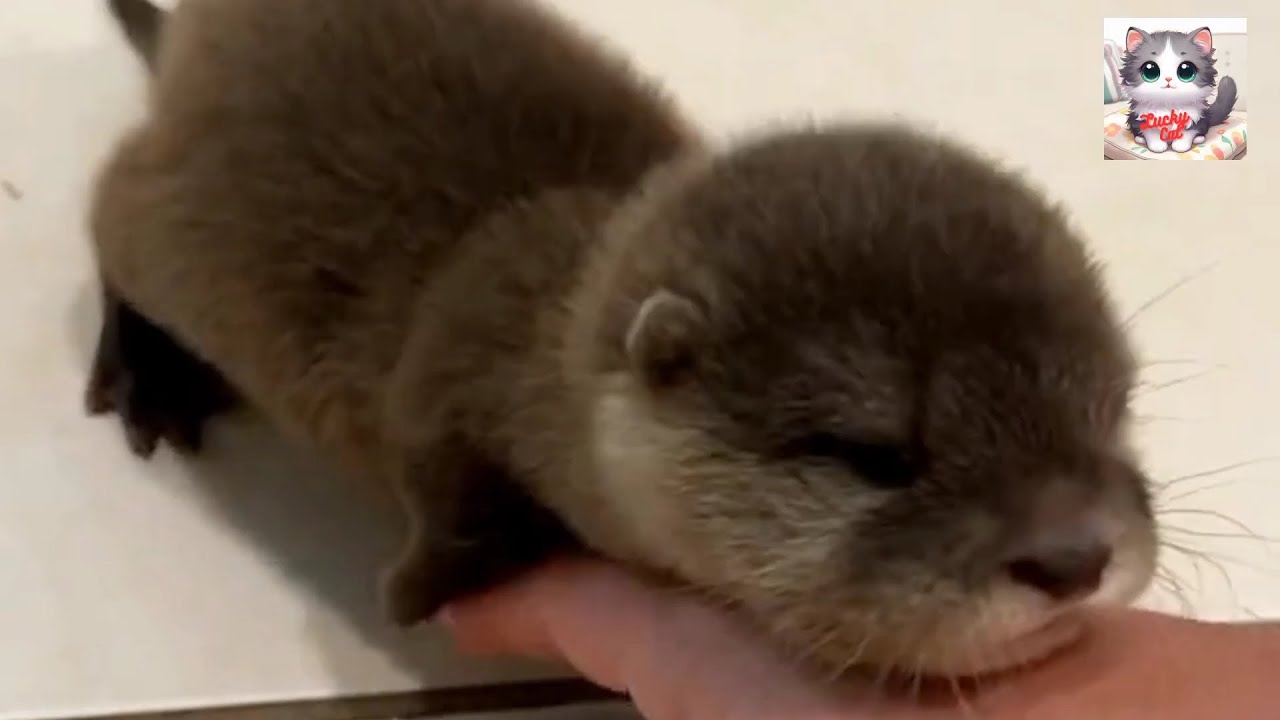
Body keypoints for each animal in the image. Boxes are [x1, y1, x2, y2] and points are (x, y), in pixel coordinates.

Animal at [87, 0, 1158, 678]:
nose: (1074, 557)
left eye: (1111, 417)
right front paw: (424, 589)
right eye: (876, 455)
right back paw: (148, 370)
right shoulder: (451, 364)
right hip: (174, 232)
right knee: (108, 204)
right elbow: (437, 480)